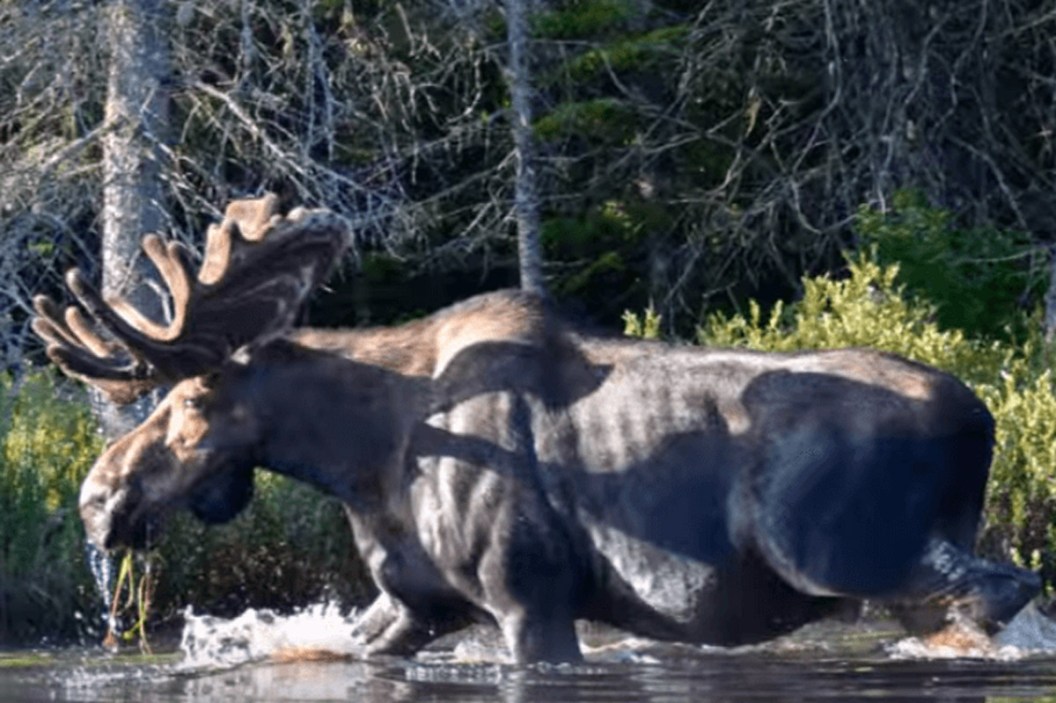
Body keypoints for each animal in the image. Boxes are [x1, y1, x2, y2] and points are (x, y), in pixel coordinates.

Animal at [33, 195, 1040, 663]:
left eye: (189, 403)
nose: (96, 498)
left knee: (1006, 585)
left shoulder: (528, 597)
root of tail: (983, 416)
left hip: (844, 551)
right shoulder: (419, 602)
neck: (358, 464)